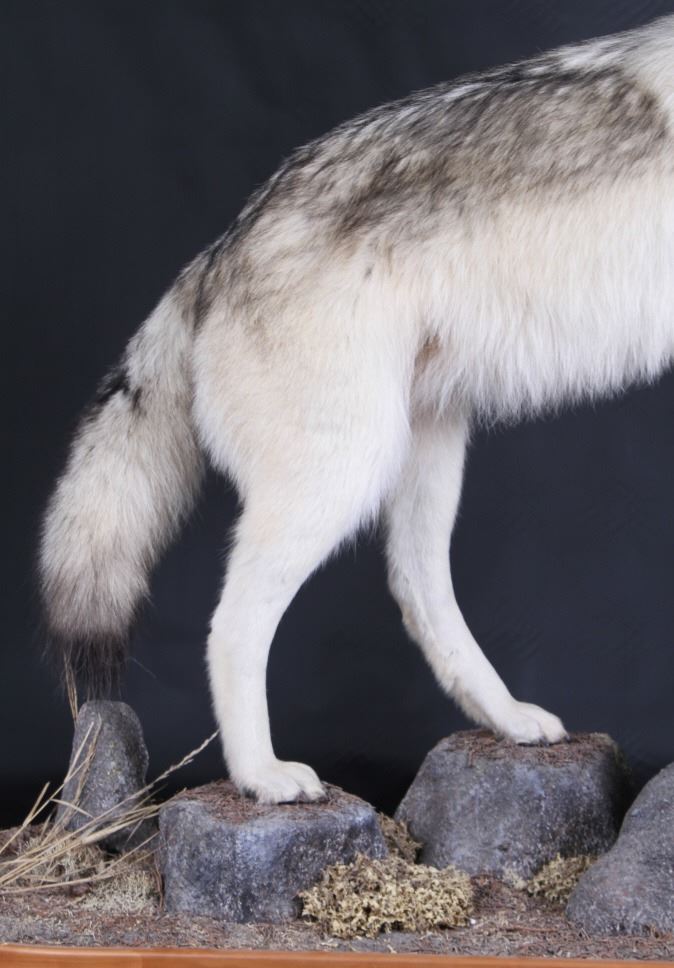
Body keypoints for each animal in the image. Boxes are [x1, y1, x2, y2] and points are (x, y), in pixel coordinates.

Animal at [39, 14, 674, 802]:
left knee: (416, 592)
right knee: (232, 627)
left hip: (423, 461)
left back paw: (506, 720)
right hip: (342, 475)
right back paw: (263, 778)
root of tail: (222, 249)